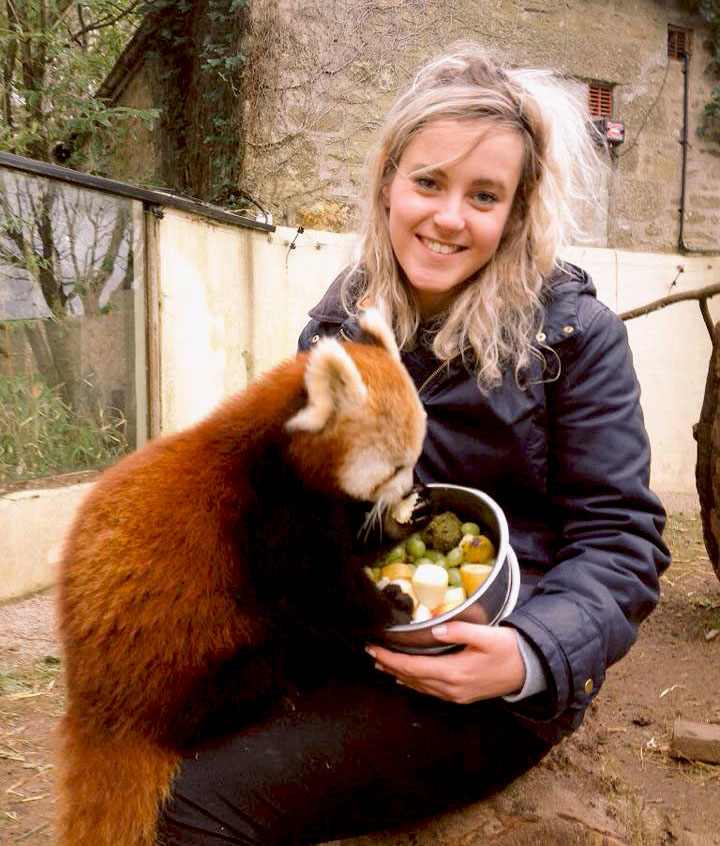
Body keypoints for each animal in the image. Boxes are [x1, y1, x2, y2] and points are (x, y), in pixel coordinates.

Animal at [56, 309, 427, 846]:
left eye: (415, 460)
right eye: (395, 466)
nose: (409, 487)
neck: (275, 446)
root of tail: (100, 711)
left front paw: (406, 518)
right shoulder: (269, 506)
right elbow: (316, 587)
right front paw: (390, 605)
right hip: (197, 654)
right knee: (271, 651)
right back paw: (284, 689)